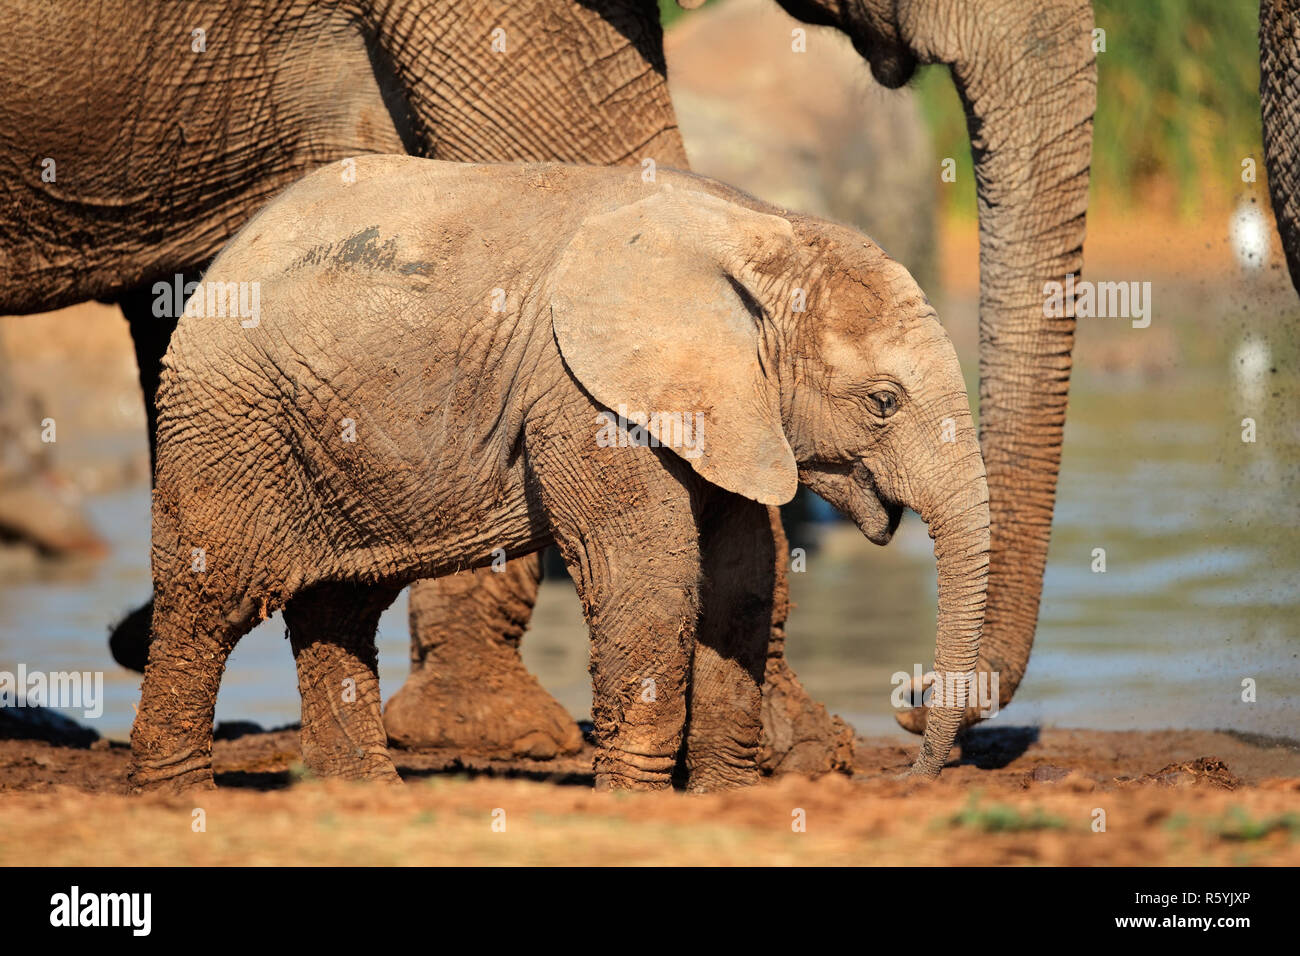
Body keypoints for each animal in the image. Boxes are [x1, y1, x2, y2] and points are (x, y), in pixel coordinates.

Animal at [127, 156, 990, 793]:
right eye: (883, 403)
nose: (910, 755)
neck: (758, 230)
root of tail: (229, 253)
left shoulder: (722, 409)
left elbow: (743, 575)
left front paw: (726, 795)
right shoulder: (582, 394)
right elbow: (646, 574)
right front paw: (638, 800)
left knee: (341, 606)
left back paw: (365, 796)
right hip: (229, 416)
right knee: (212, 596)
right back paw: (181, 795)